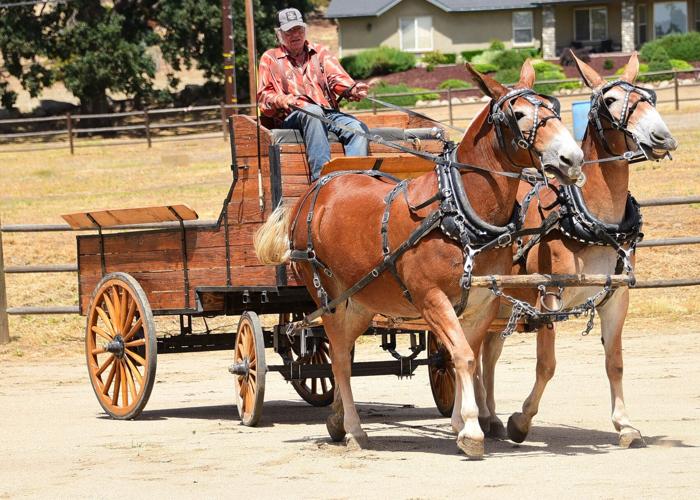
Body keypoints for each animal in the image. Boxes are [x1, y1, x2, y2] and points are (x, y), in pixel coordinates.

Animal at [254, 60, 584, 459]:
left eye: (552, 107)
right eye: (517, 114)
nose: (572, 158)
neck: (458, 212)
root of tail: (313, 192)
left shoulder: (482, 302)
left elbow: (464, 354)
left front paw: (461, 421)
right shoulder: (432, 299)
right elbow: (464, 356)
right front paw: (471, 429)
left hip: (361, 302)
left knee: (342, 352)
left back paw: (335, 419)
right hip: (328, 297)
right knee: (341, 361)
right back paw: (353, 428)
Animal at [476, 52, 678, 448]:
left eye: (649, 96)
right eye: (611, 100)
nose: (662, 137)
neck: (594, 222)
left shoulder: (616, 298)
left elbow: (615, 361)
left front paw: (625, 425)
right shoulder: (548, 296)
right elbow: (547, 364)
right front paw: (521, 421)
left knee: (487, 353)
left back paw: (489, 417)